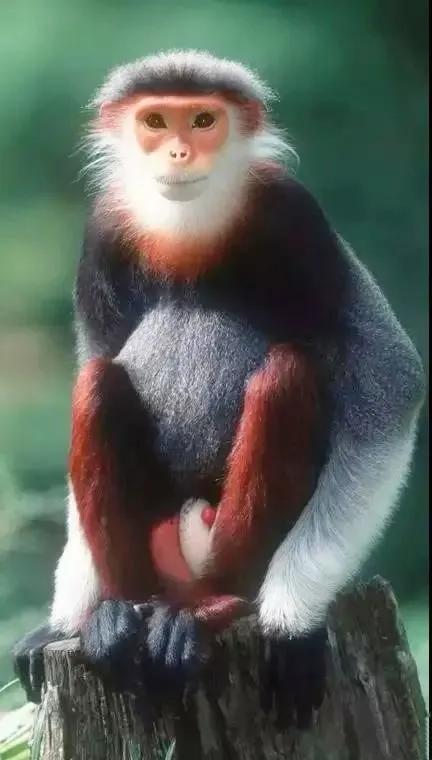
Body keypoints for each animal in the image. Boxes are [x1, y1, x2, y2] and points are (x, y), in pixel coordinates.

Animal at [13, 50, 425, 727]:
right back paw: (118, 618)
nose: (178, 152)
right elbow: (95, 355)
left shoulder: (296, 216)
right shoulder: (103, 233)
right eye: (156, 120)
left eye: (203, 120)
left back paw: (215, 608)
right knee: (97, 381)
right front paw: (63, 622)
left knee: (287, 373)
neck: (189, 226)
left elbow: (392, 385)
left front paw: (290, 621)